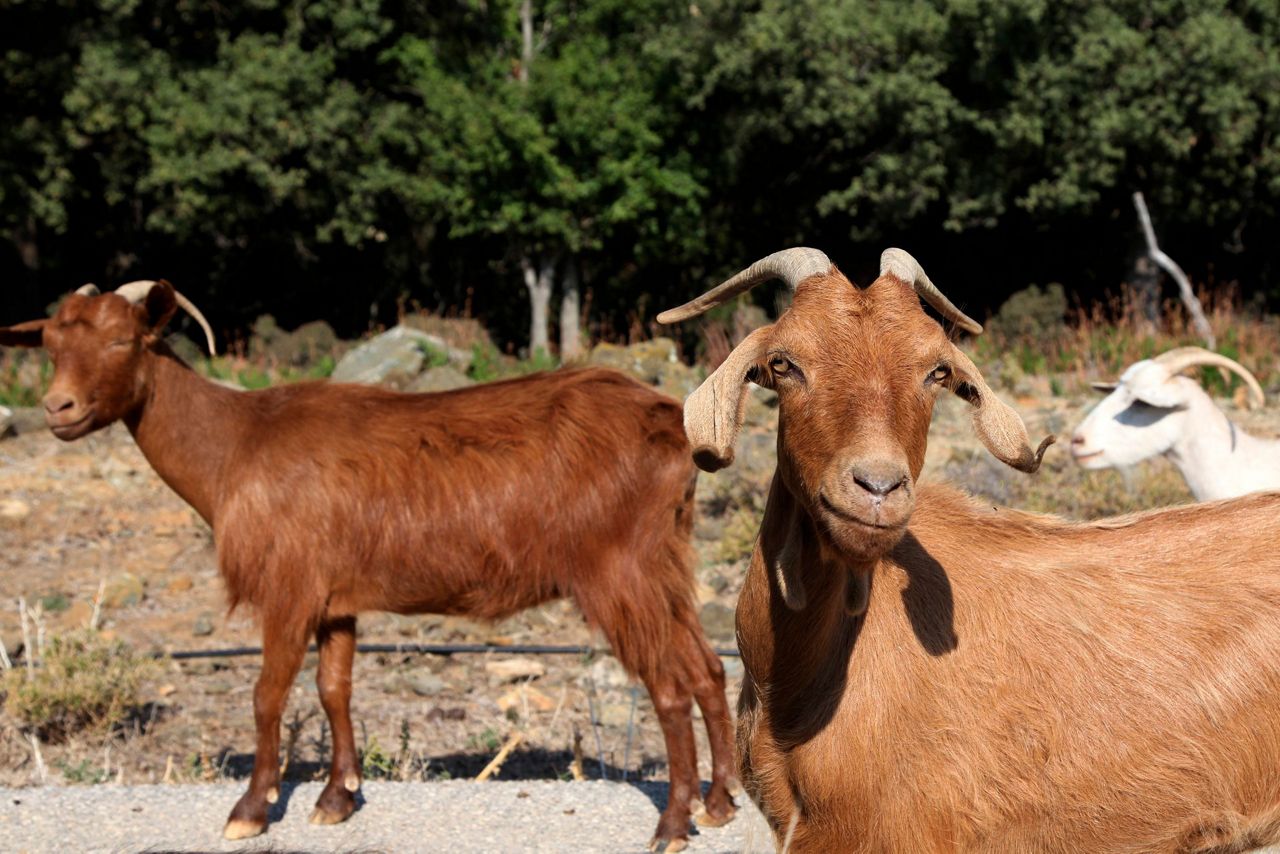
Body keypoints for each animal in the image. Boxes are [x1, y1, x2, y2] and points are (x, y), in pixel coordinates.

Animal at [0, 281, 737, 851]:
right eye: (51, 347)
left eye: (123, 342)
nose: (58, 409)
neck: (235, 445)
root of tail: (673, 424)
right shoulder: (337, 600)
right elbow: (335, 689)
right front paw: (337, 797)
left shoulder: (289, 587)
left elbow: (267, 693)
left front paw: (250, 810)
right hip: (663, 565)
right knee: (707, 668)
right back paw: (721, 803)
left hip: (618, 571)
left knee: (669, 687)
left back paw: (672, 825)